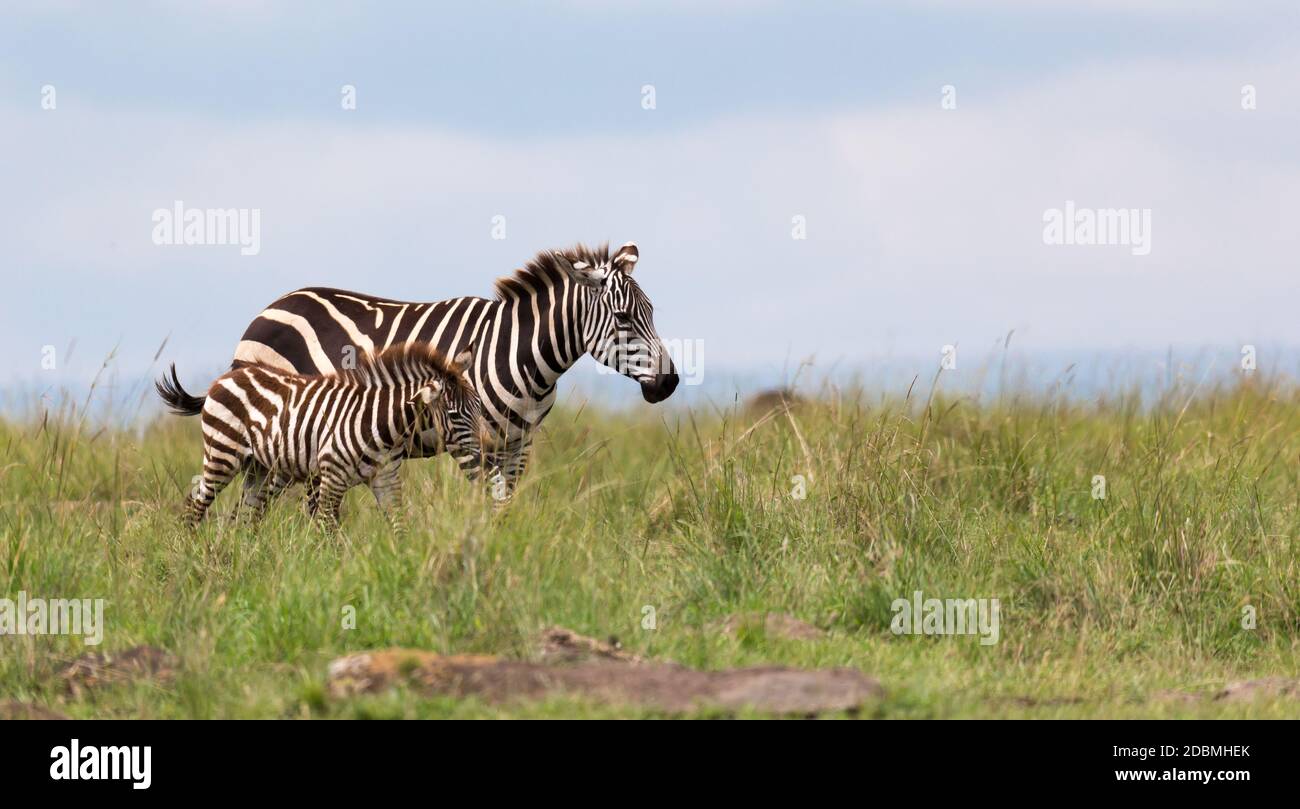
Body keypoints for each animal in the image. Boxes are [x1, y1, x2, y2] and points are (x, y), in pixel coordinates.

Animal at [157, 242, 680, 505]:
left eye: (652, 313)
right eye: (624, 319)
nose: (670, 383)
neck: (521, 354)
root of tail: (266, 310)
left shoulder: (518, 444)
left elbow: (504, 506)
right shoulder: (469, 439)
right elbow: (481, 506)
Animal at [170, 342, 488, 533]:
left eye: (478, 406)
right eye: (455, 414)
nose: (487, 451)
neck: (381, 422)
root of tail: (223, 379)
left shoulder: (386, 477)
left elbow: (398, 524)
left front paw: (404, 563)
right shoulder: (332, 475)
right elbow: (327, 530)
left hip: (257, 468)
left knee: (245, 515)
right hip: (222, 455)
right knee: (196, 503)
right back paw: (189, 554)